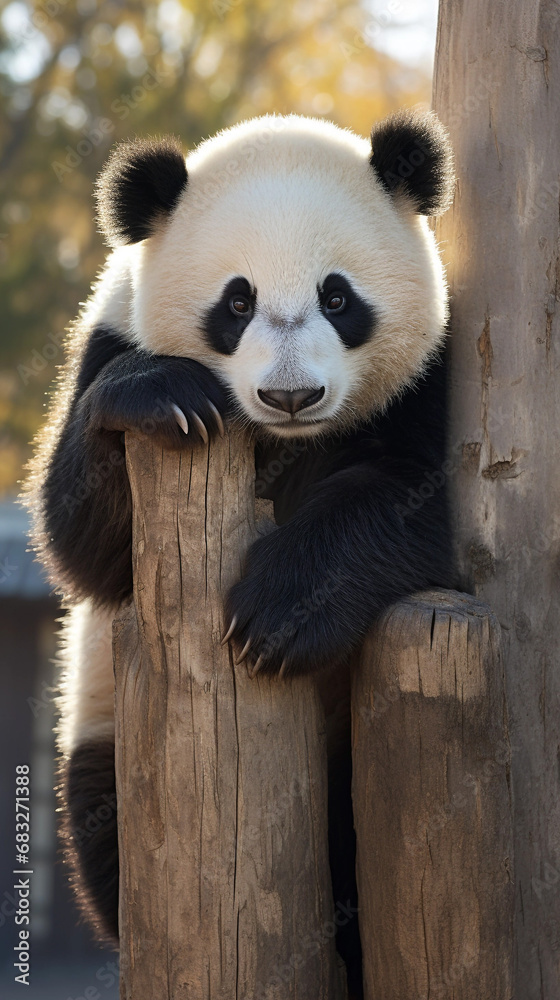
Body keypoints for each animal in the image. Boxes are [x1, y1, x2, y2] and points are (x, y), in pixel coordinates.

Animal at [26, 110, 454, 998]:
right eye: (237, 300)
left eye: (337, 296)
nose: (291, 396)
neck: (281, 442)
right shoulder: (108, 335)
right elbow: (85, 550)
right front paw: (160, 395)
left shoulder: (424, 385)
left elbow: (408, 504)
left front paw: (276, 621)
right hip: (105, 731)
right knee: (102, 824)